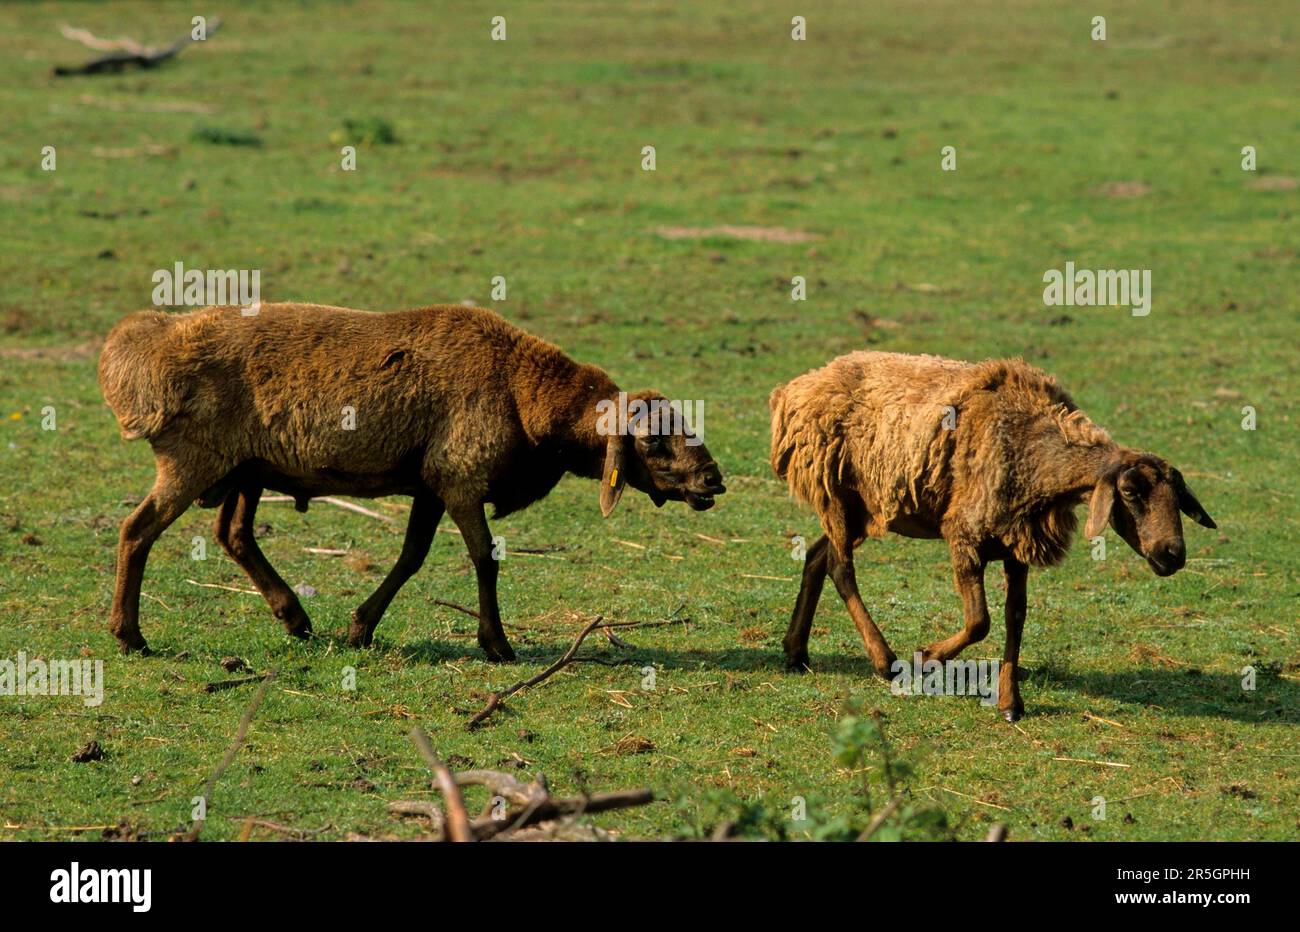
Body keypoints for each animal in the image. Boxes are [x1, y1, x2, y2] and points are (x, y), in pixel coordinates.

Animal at [98, 302, 727, 659]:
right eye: (653, 442)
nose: (713, 481)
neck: (523, 395)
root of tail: (140, 350)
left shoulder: (430, 483)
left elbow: (412, 557)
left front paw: (360, 628)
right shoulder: (460, 475)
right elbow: (484, 558)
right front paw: (497, 645)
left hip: (245, 468)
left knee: (233, 534)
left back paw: (295, 619)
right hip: (193, 459)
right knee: (137, 530)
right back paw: (130, 635)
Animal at [769, 351, 1216, 720]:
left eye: (1178, 497)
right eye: (1130, 492)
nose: (1172, 554)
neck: (1033, 451)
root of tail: (794, 388)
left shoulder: (1017, 542)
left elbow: (1015, 617)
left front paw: (1010, 703)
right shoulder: (964, 535)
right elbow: (980, 621)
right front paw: (926, 658)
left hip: (862, 509)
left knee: (817, 556)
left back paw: (796, 651)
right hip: (836, 490)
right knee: (841, 568)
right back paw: (883, 660)